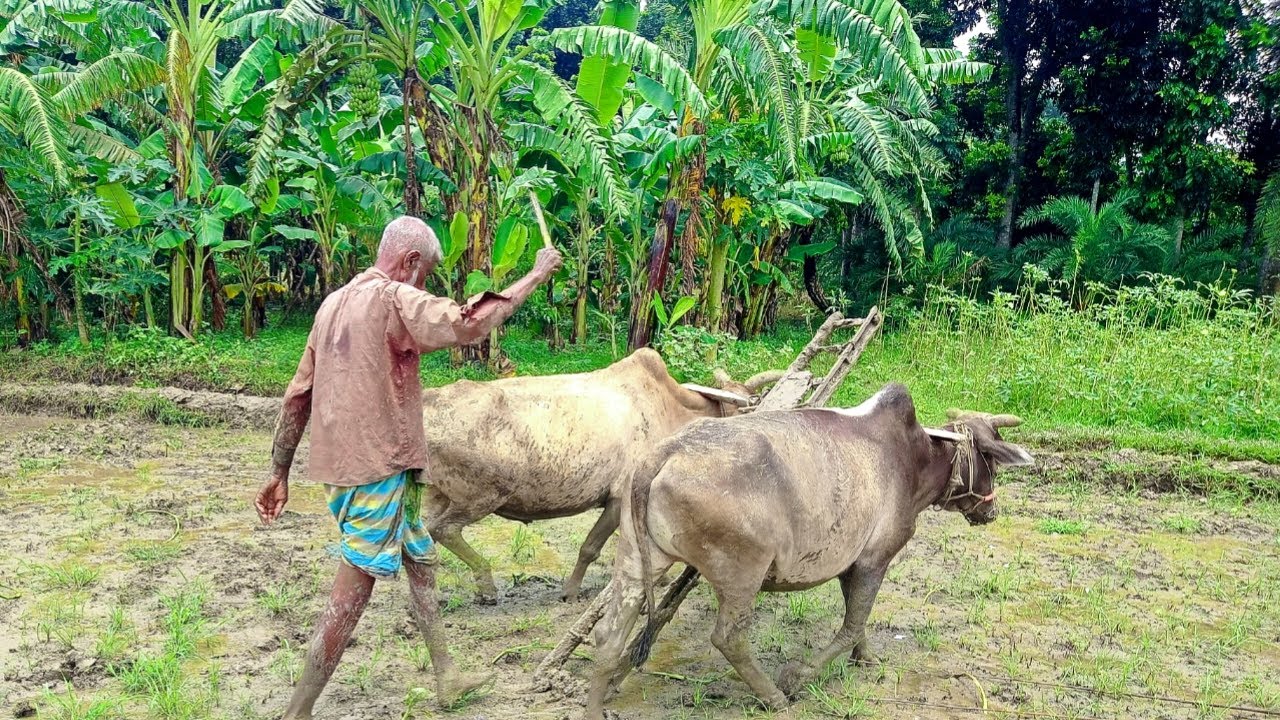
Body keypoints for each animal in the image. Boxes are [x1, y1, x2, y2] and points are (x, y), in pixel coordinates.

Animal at [421, 348, 780, 604]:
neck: (671, 410)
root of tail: (427, 403)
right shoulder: (620, 497)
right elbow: (590, 547)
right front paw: (570, 591)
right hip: (484, 494)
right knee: (444, 529)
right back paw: (486, 586)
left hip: (435, 493)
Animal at [583, 383, 1034, 719]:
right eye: (992, 462)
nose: (991, 510)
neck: (916, 458)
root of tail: (662, 455)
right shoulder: (876, 557)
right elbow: (851, 624)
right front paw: (798, 678)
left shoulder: (851, 562)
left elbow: (857, 619)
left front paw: (866, 658)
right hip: (741, 572)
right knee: (729, 637)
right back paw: (773, 697)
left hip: (637, 560)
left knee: (609, 635)